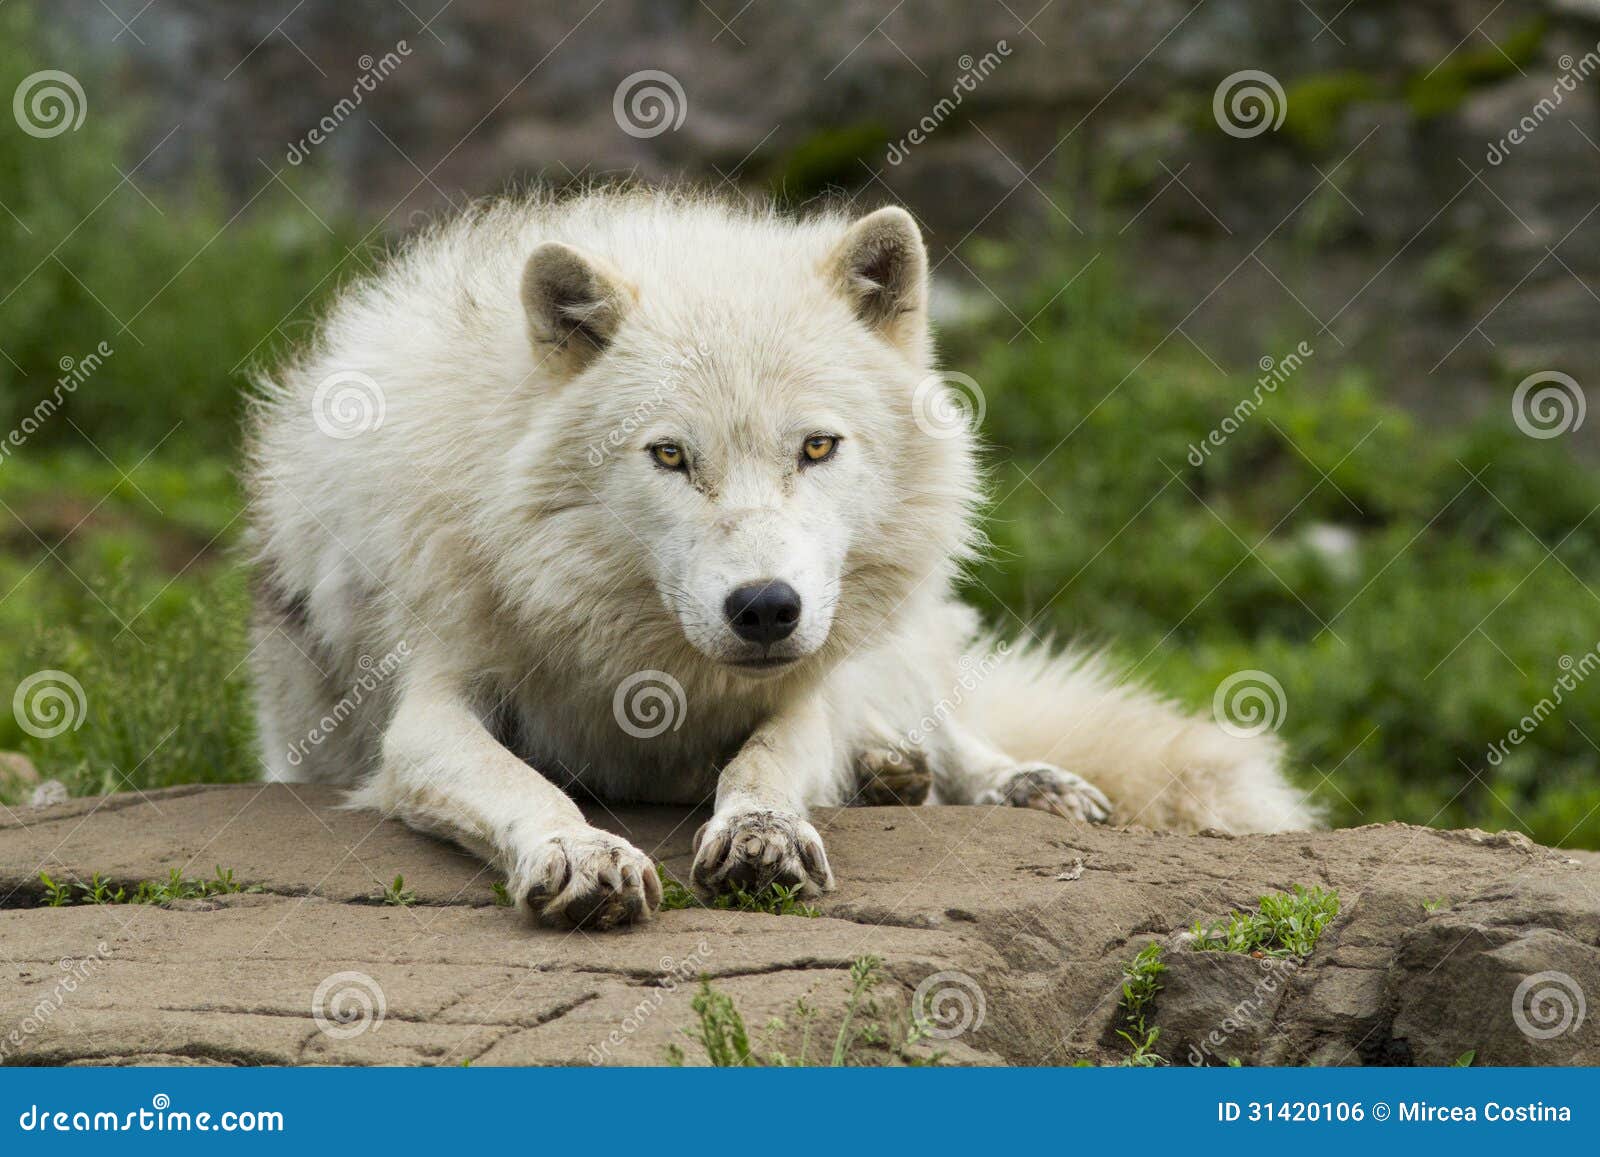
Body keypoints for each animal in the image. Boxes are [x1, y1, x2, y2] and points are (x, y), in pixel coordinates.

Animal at [246, 189, 1311, 930]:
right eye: (671, 456)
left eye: (816, 447)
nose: (765, 607)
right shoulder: (425, 709)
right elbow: (518, 780)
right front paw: (581, 851)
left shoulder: (803, 685)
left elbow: (769, 757)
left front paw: (764, 833)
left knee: (942, 719)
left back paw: (993, 779)